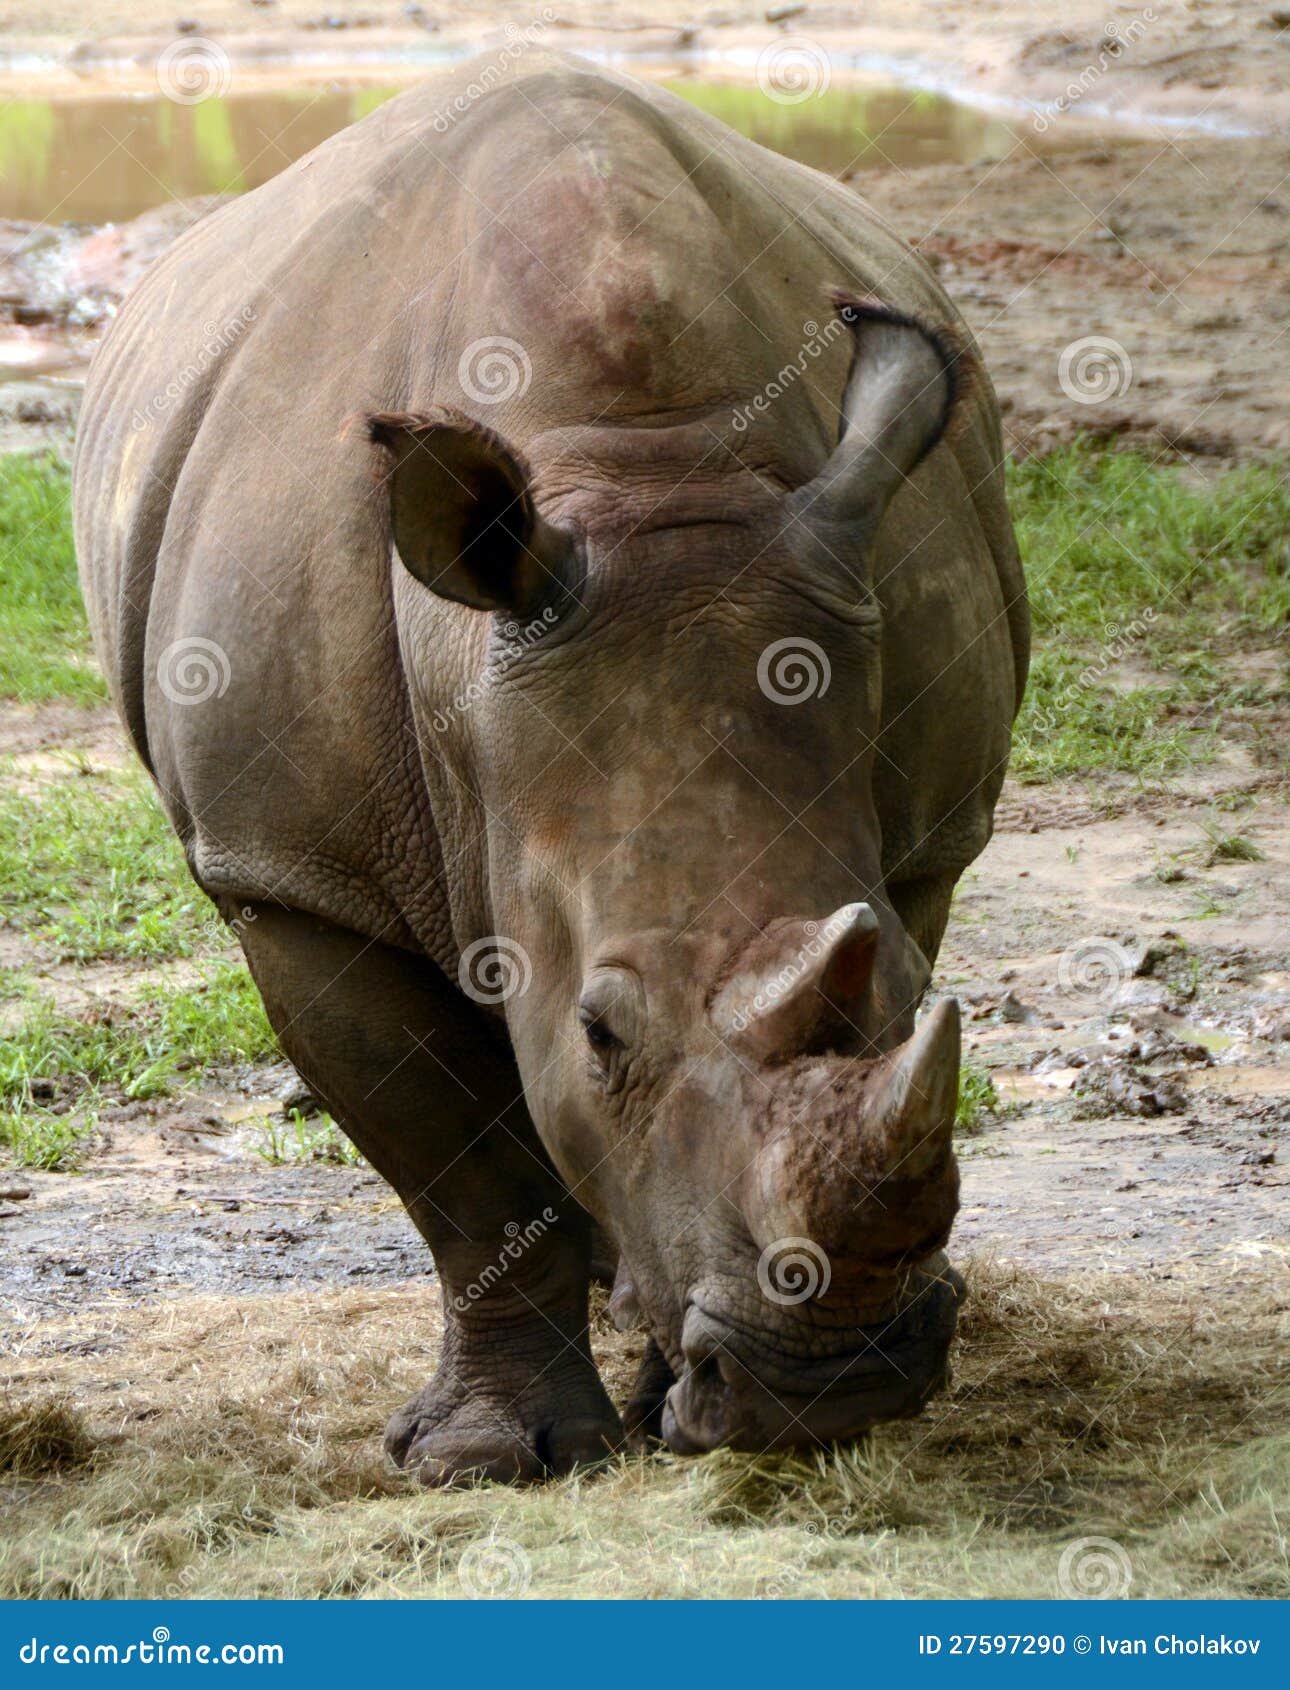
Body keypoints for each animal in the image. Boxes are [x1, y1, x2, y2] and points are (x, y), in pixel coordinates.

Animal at [74, 52, 1027, 1481]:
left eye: (923, 994)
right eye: (600, 1030)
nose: (836, 1385)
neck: (637, 469)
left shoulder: (925, 831)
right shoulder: (294, 871)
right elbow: (465, 1171)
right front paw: (489, 1456)